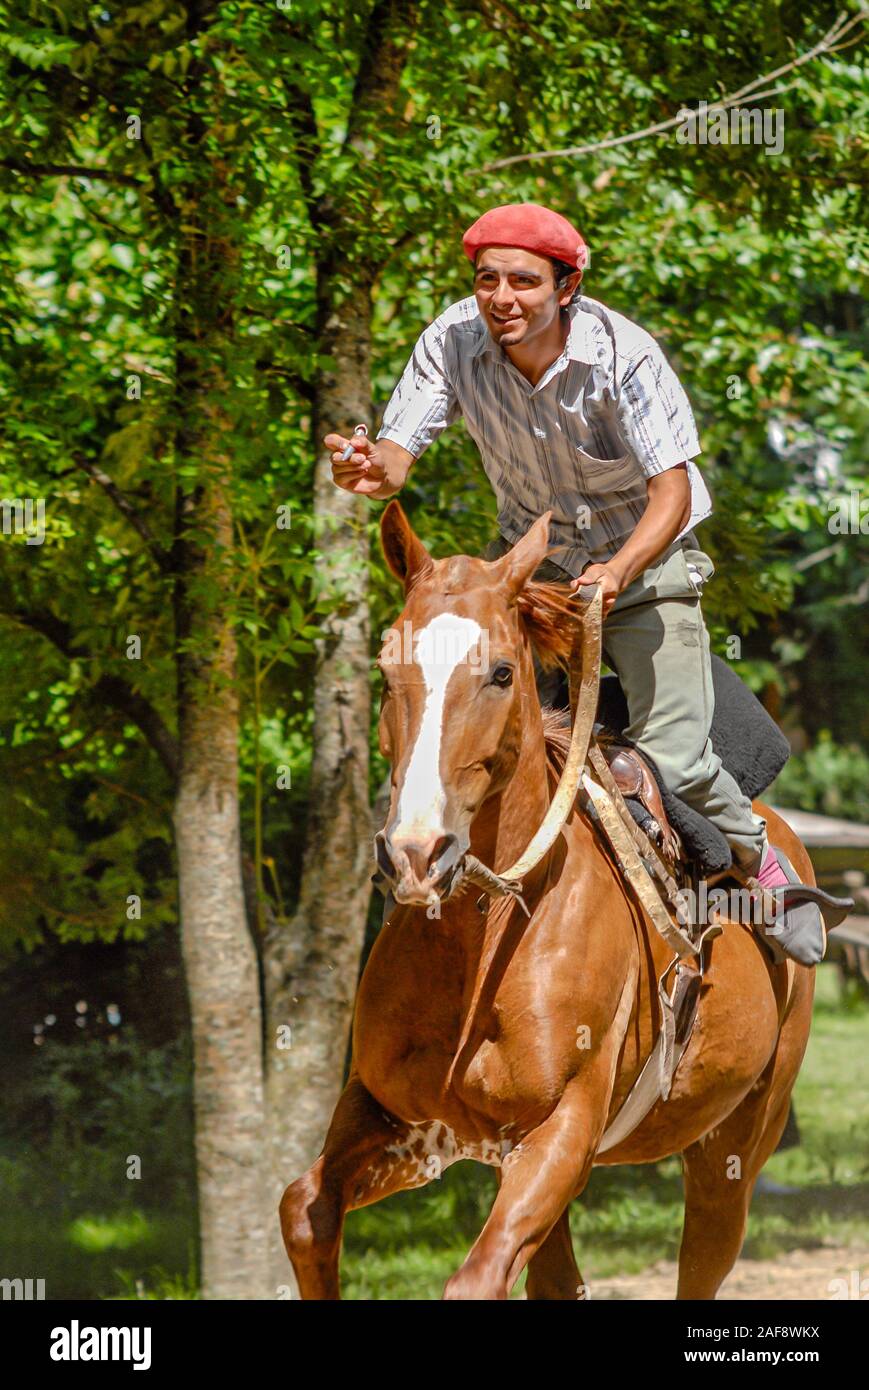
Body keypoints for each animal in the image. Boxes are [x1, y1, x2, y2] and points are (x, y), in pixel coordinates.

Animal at [279, 501, 815, 1300]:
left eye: (502, 672)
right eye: (385, 668)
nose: (416, 851)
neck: (484, 940)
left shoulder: (562, 1130)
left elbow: (476, 1280)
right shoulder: (400, 1119)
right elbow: (303, 1210)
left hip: (733, 1149)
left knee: (705, 1252)